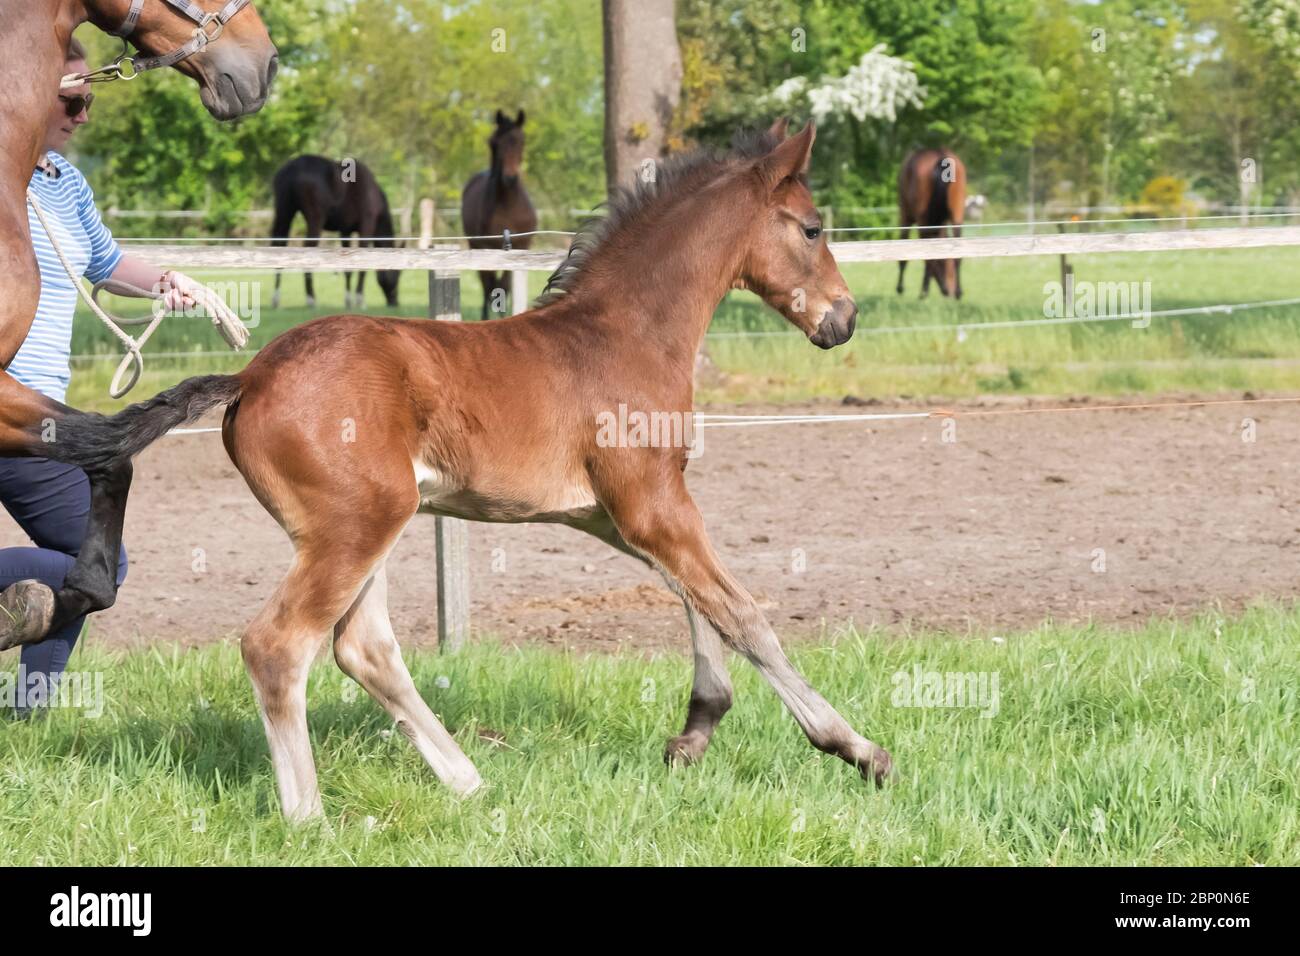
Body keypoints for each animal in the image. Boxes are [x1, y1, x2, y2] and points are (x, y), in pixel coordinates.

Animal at [270, 155, 400, 311]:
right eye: (397, 274)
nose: (395, 302)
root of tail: (293, 168)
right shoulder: (366, 228)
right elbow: (362, 267)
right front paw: (360, 300)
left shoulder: (345, 231)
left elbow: (348, 269)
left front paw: (348, 301)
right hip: (315, 219)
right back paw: (311, 298)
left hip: (284, 212)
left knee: (278, 244)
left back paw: (276, 298)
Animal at [461, 110, 538, 319]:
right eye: (495, 143)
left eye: (521, 141)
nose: (510, 178)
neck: (508, 206)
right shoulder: (487, 247)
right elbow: (492, 287)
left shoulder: (520, 247)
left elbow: (505, 286)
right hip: (475, 246)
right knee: (486, 285)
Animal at [896, 147, 967, 299]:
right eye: (948, 268)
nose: (949, 291)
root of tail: (941, 155)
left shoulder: (906, 217)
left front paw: (900, 288)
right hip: (957, 215)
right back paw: (958, 292)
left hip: (922, 220)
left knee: (928, 257)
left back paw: (924, 291)